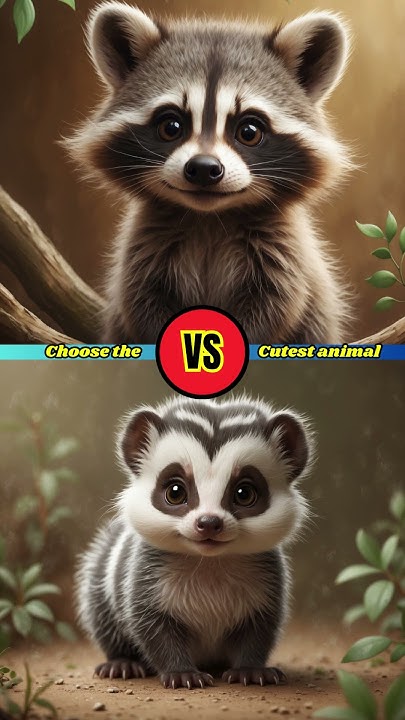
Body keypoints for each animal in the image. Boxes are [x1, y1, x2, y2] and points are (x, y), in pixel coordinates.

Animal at [67, 3, 353, 343]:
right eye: (171, 126)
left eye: (249, 131)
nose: (204, 169)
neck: (210, 219)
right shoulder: (145, 249)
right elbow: (142, 304)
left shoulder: (283, 253)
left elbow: (275, 306)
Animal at [76, 396, 313, 689]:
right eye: (175, 492)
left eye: (244, 493)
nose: (209, 522)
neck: (208, 564)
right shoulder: (146, 577)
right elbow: (151, 624)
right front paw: (182, 674)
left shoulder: (267, 582)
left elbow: (260, 626)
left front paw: (250, 670)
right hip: (101, 577)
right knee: (101, 612)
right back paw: (121, 663)